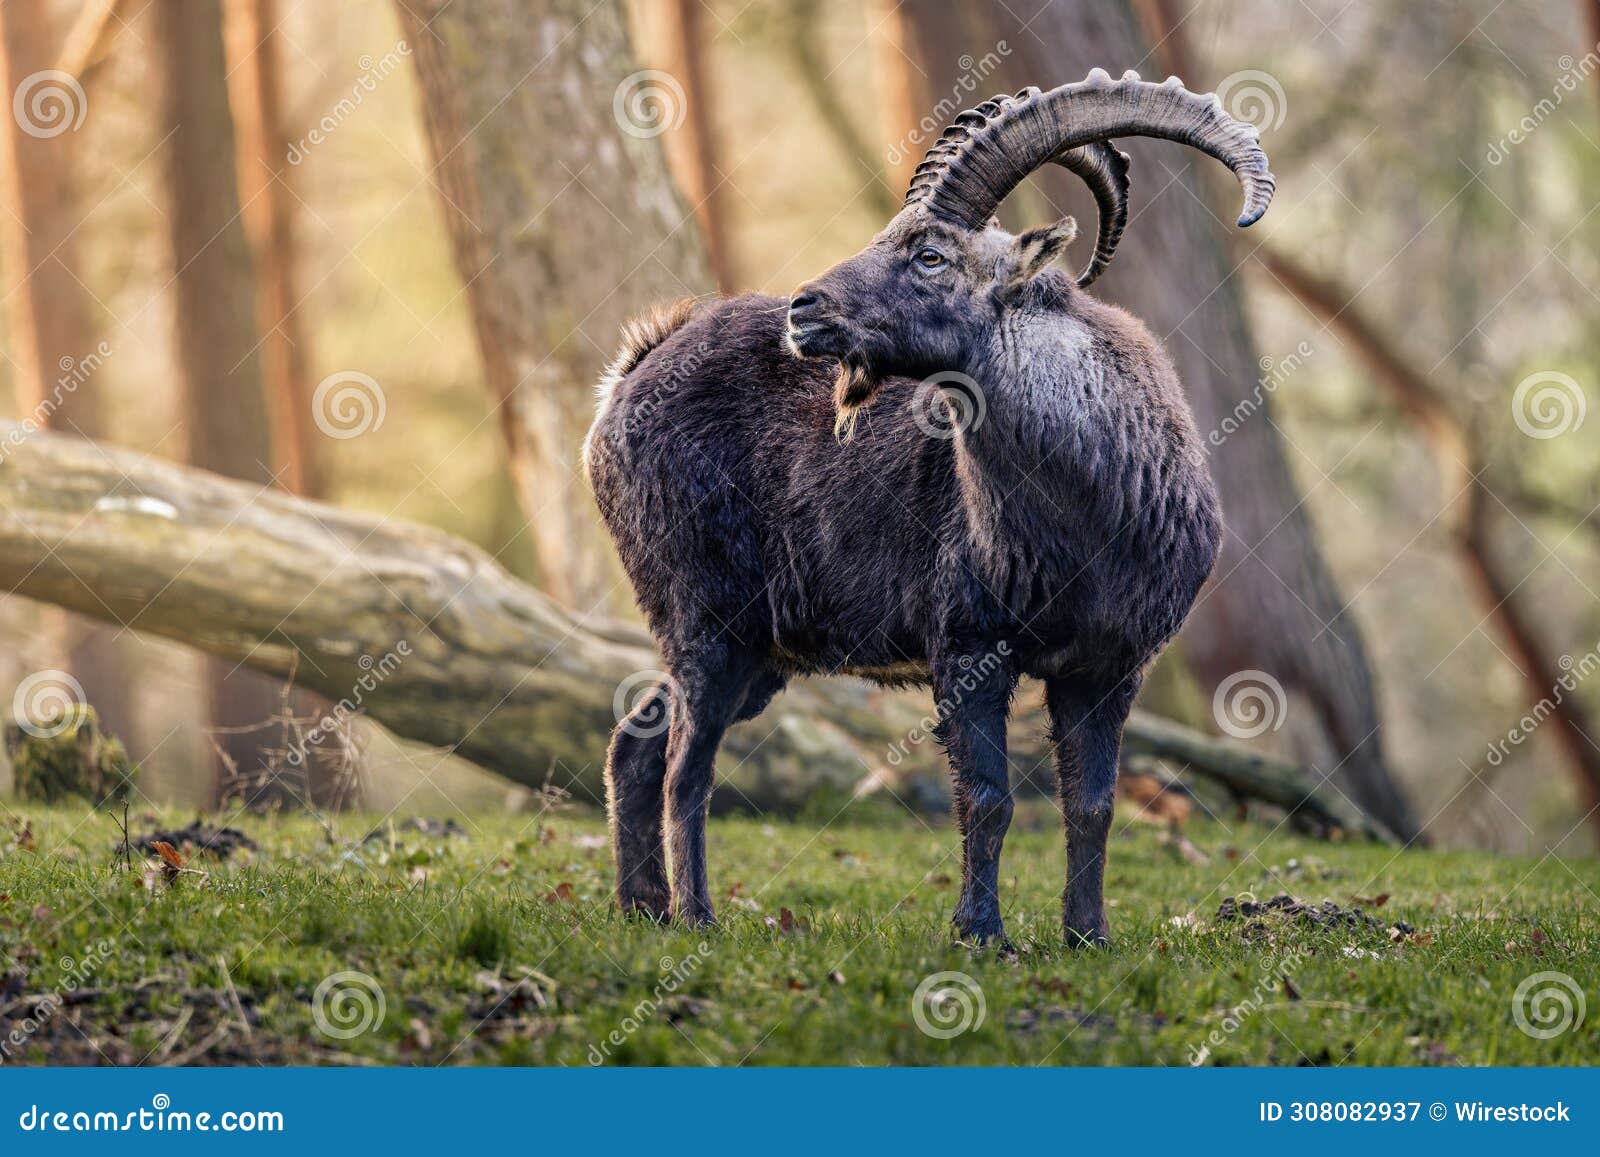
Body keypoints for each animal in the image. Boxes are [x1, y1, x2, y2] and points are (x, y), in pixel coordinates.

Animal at [583, 71, 1275, 946]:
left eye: (931, 254)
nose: (804, 309)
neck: (1085, 515)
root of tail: (631, 373)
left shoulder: (1108, 665)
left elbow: (1093, 805)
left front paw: (1088, 936)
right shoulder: (969, 647)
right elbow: (988, 798)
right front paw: (980, 933)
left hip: (757, 653)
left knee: (636, 746)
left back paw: (643, 907)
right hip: (704, 621)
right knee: (684, 768)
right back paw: (698, 916)